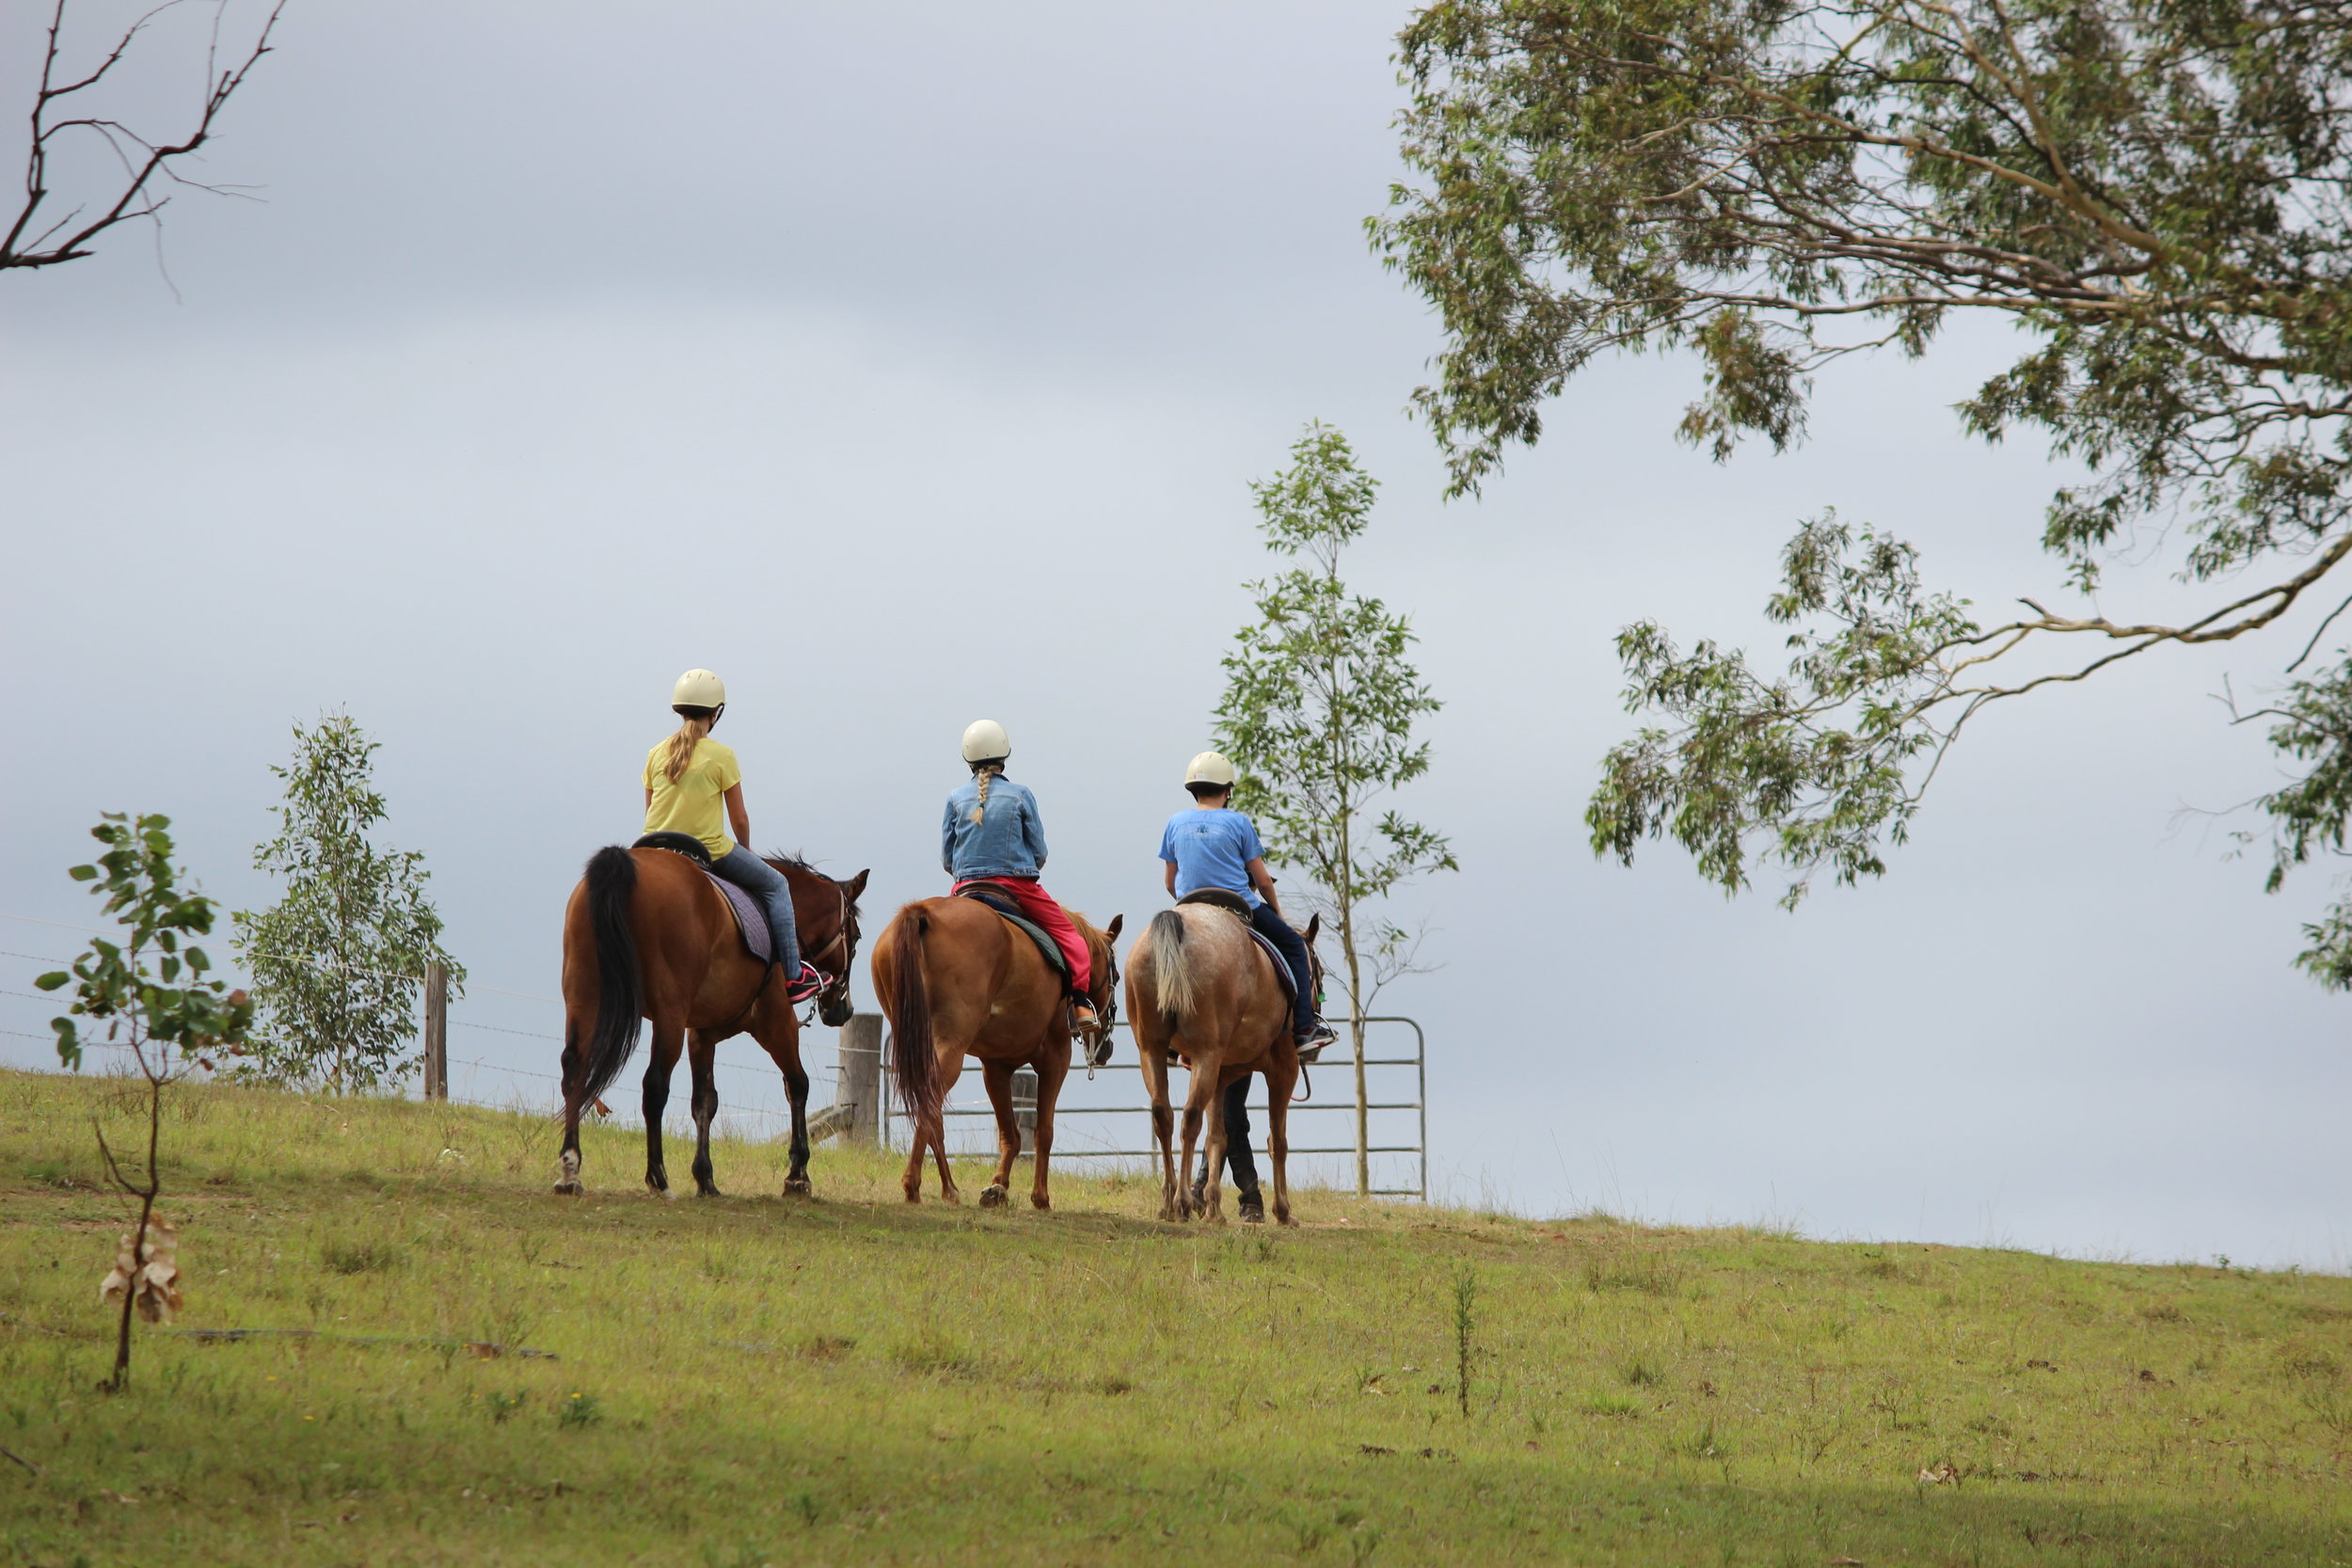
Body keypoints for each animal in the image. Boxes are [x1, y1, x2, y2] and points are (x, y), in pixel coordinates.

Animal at [554, 845, 868, 1199]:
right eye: (856, 937)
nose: (843, 1010)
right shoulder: (776, 1022)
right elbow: (797, 1084)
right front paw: (798, 1174)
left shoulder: (701, 1035)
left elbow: (705, 1101)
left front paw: (705, 1177)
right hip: (669, 1014)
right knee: (654, 1085)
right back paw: (658, 1177)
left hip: (583, 998)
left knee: (574, 1071)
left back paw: (570, 1169)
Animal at [871, 894, 1122, 1209]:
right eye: (1116, 976)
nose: (1106, 1049)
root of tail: (922, 912)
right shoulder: (1056, 1058)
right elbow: (1044, 1131)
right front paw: (1040, 1197)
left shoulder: (995, 1066)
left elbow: (1010, 1135)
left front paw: (998, 1187)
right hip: (951, 1044)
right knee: (930, 1102)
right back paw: (914, 1184)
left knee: (932, 1111)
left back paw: (948, 1187)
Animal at [1127, 902, 1320, 1225]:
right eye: (1318, 971)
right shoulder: (1284, 1070)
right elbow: (1277, 1141)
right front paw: (1283, 1211)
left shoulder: (1221, 1075)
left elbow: (1217, 1137)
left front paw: (1213, 1208)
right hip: (1207, 1054)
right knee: (1190, 1117)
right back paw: (1181, 1202)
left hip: (1152, 1049)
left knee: (1163, 1114)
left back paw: (1169, 1200)